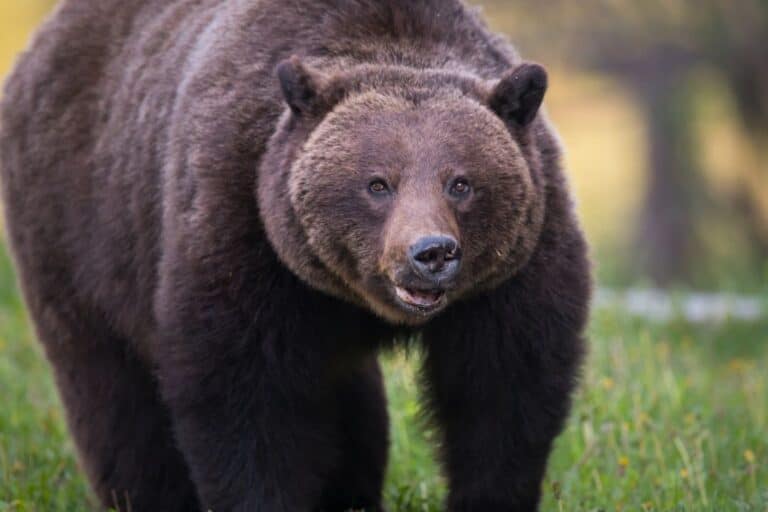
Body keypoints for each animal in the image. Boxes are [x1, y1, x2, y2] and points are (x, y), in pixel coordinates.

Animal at [0, 0, 591, 511]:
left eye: (461, 183)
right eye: (378, 183)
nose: (431, 253)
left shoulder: (515, 272)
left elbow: (503, 396)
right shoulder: (244, 231)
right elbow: (245, 401)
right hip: (81, 230)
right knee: (114, 397)